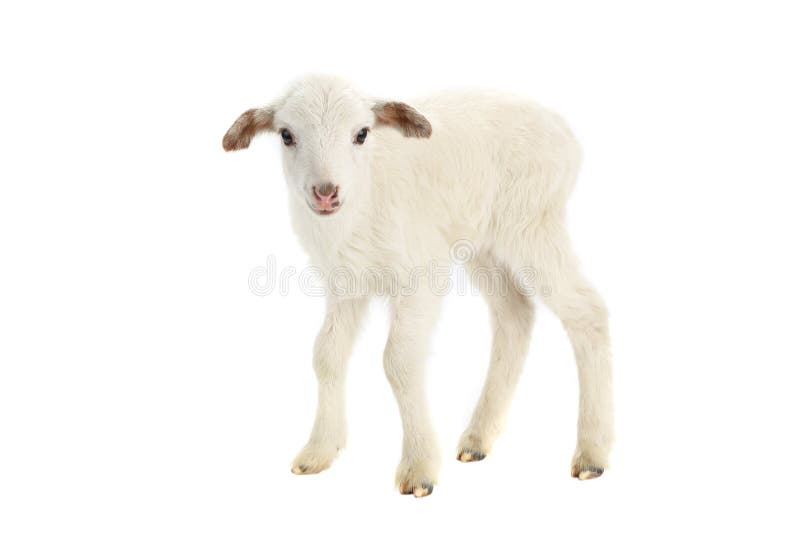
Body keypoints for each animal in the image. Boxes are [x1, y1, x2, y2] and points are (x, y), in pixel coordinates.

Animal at [222, 75, 613, 497]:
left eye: (362, 133)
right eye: (286, 135)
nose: (326, 192)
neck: (366, 193)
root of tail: (564, 131)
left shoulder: (420, 276)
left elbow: (399, 361)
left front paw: (419, 467)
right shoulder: (345, 284)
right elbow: (326, 355)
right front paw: (319, 451)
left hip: (531, 222)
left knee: (586, 310)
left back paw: (592, 453)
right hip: (483, 240)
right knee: (514, 313)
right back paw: (478, 439)